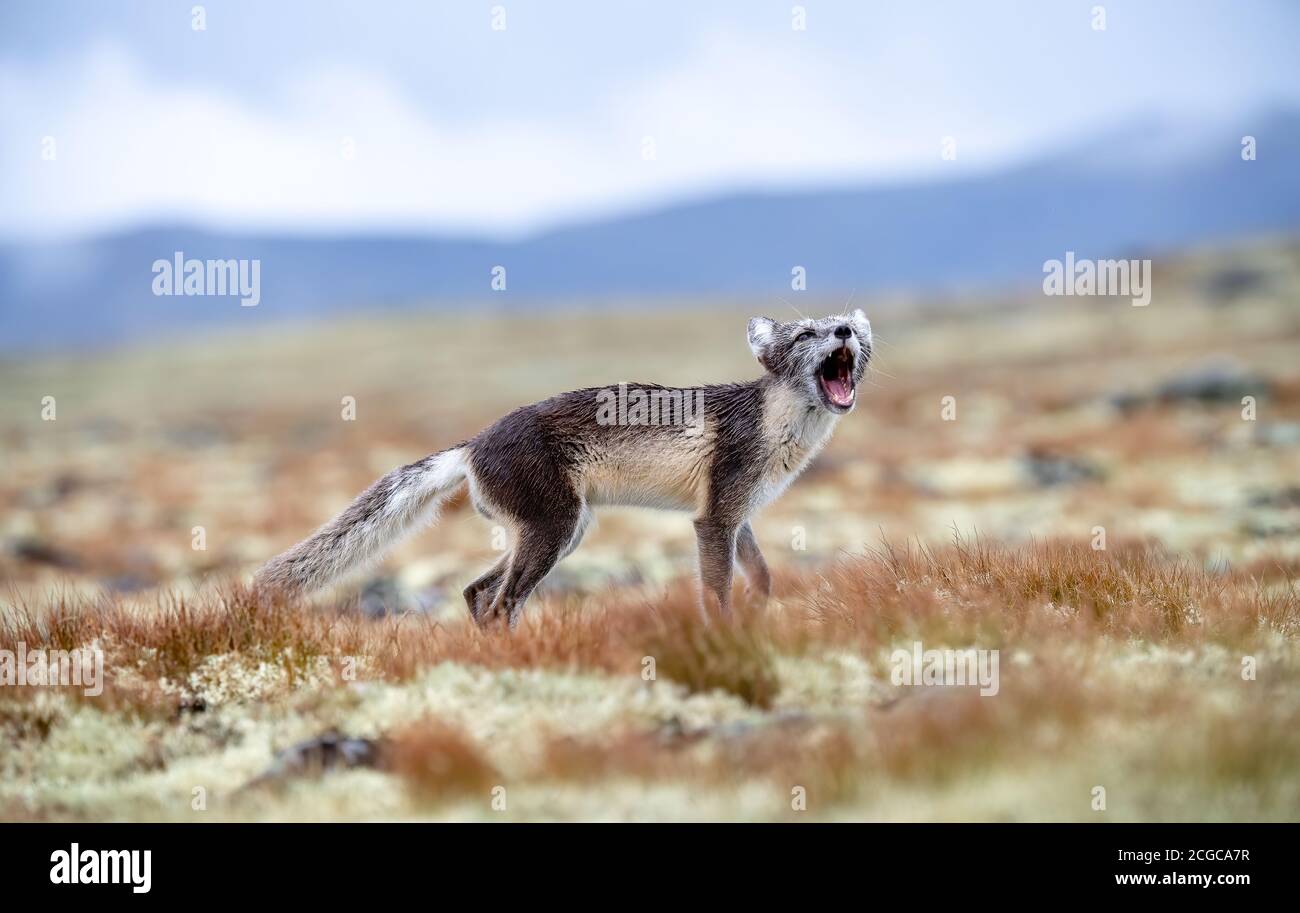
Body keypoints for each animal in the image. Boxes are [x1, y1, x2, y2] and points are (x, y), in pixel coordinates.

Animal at [254, 310, 872, 627]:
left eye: (851, 329)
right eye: (806, 334)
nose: (844, 332)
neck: (777, 427)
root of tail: (472, 443)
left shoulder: (735, 515)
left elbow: (762, 577)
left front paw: (758, 612)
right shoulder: (713, 518)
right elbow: (715, 592)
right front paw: (727, 634)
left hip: (561, 532)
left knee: (477, 593)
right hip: (554, 529)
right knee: (499, 601)